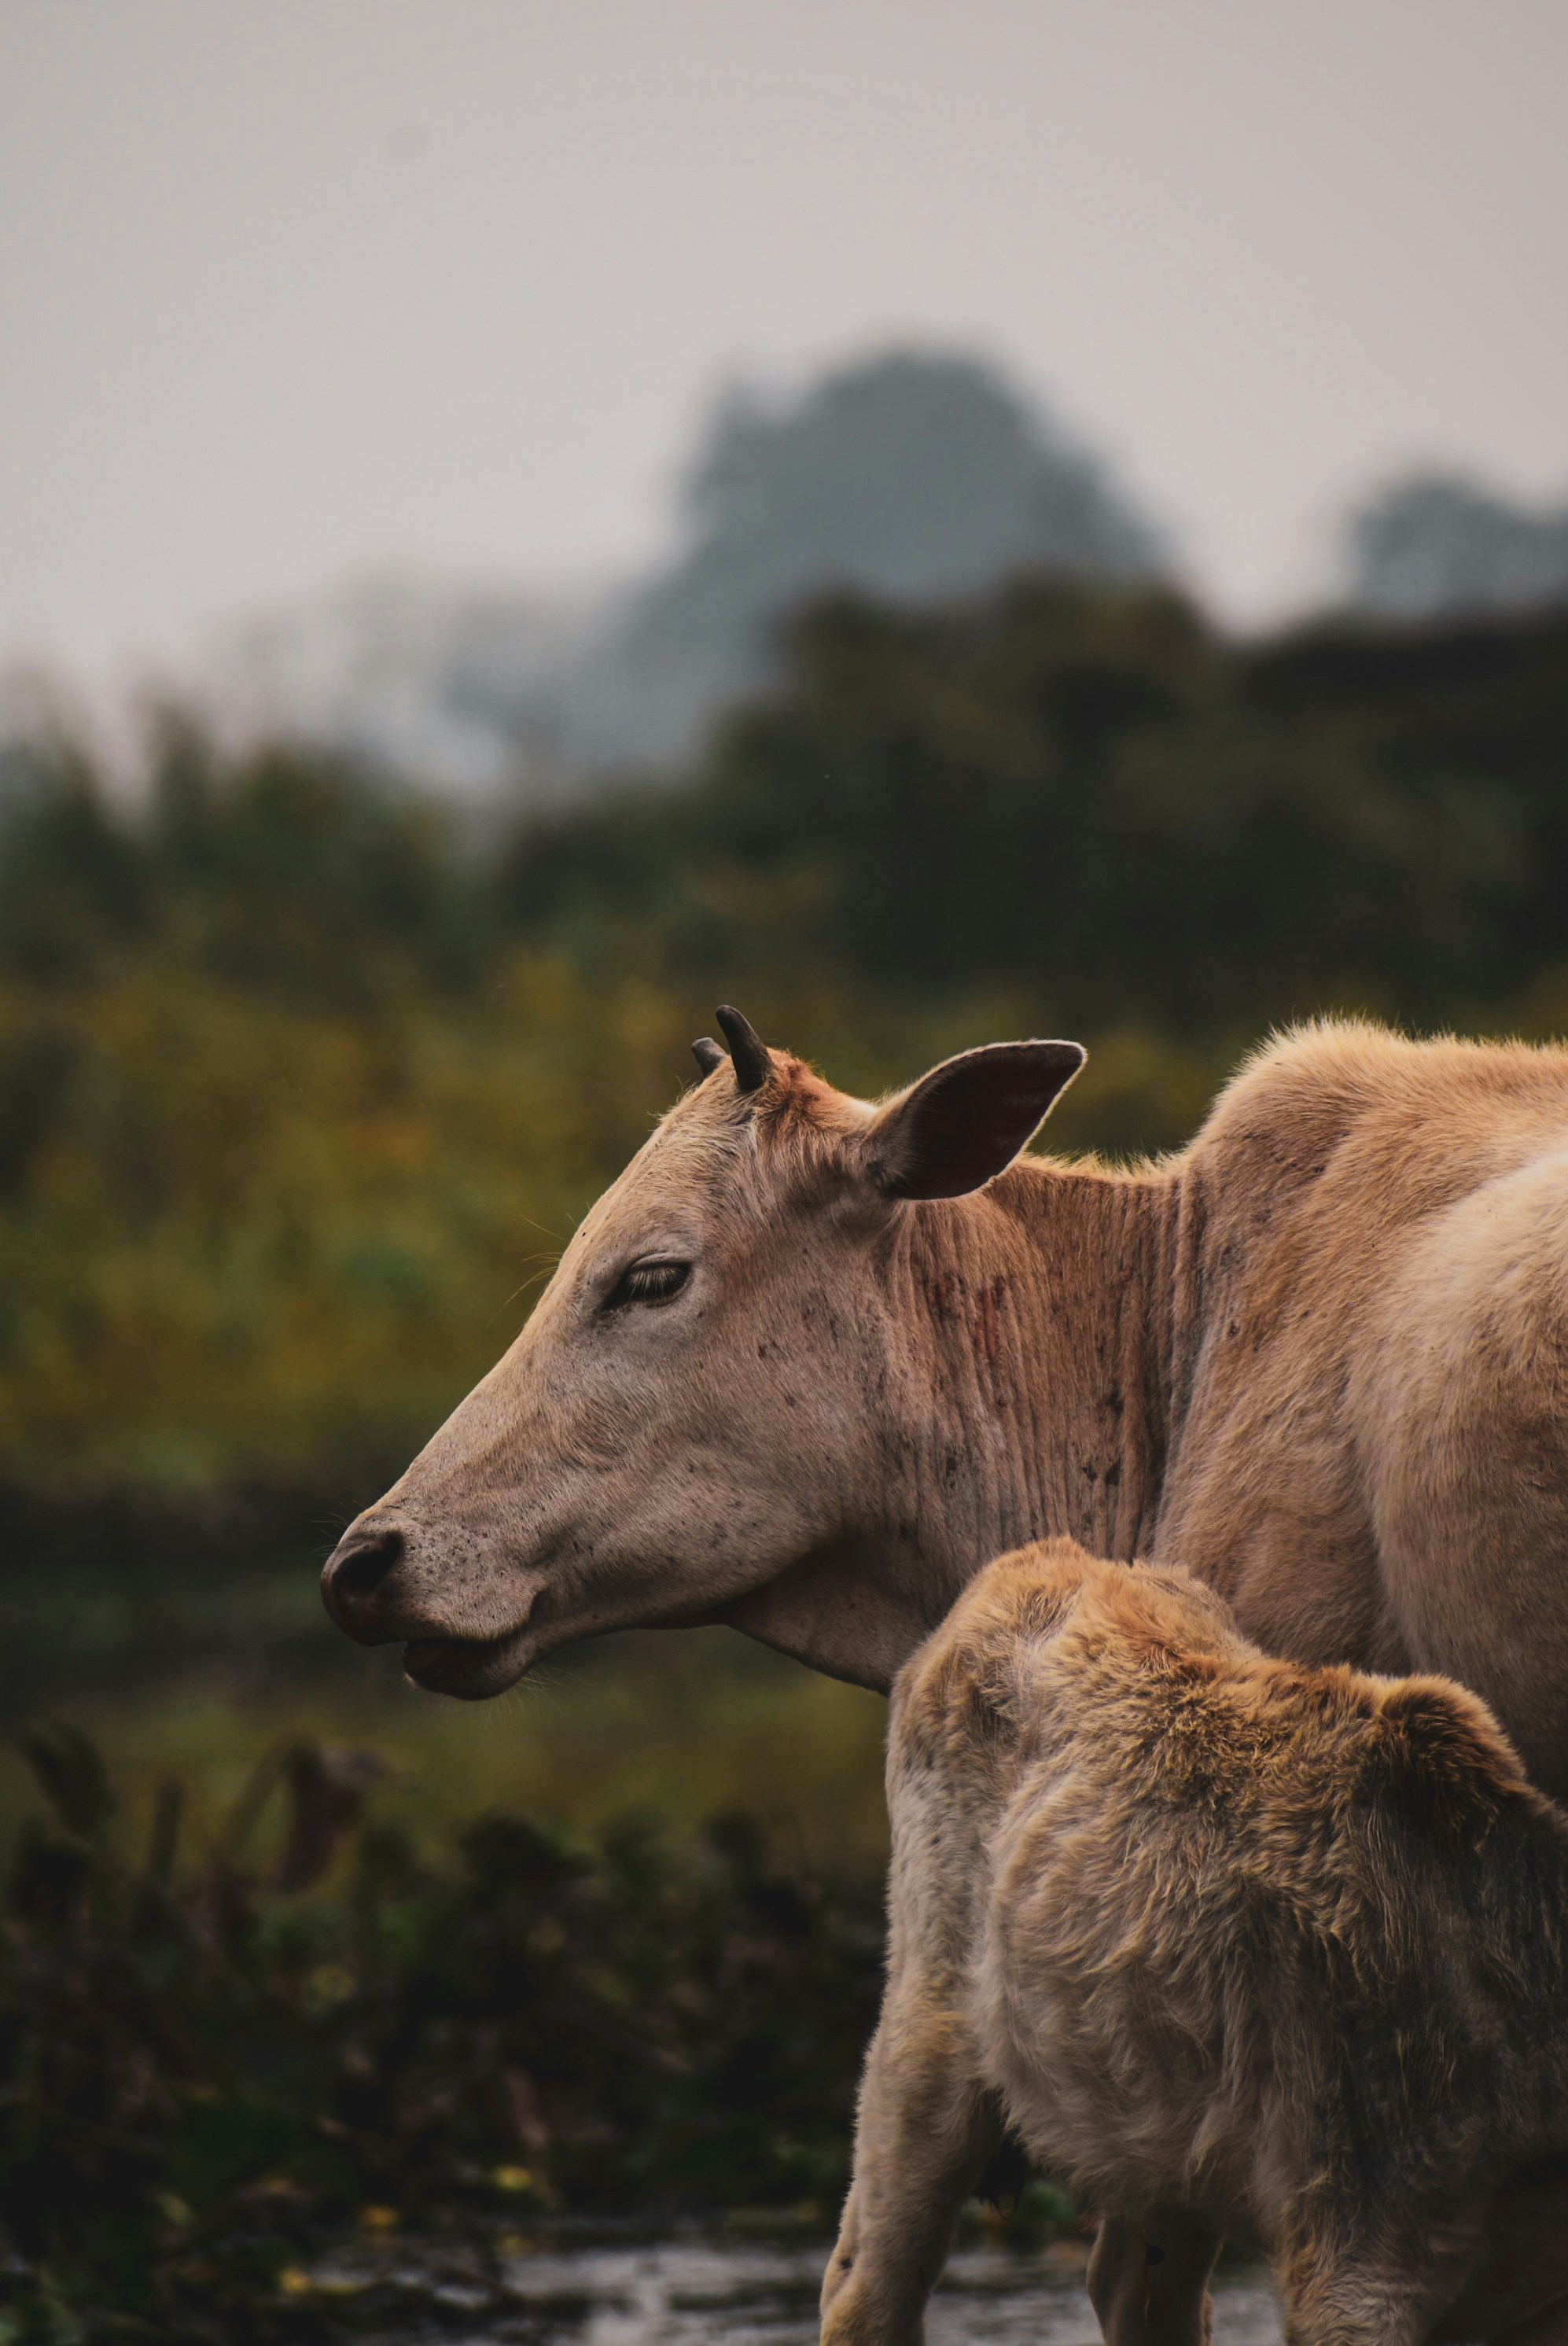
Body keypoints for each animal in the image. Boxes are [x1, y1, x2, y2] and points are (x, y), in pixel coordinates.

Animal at [822, 1536, 1568, 2346]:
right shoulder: (1350, 2261)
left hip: (1159, 2129)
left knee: (1135, 2289)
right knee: (866, 2287)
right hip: (928, 2027)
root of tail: (1036, 1557)